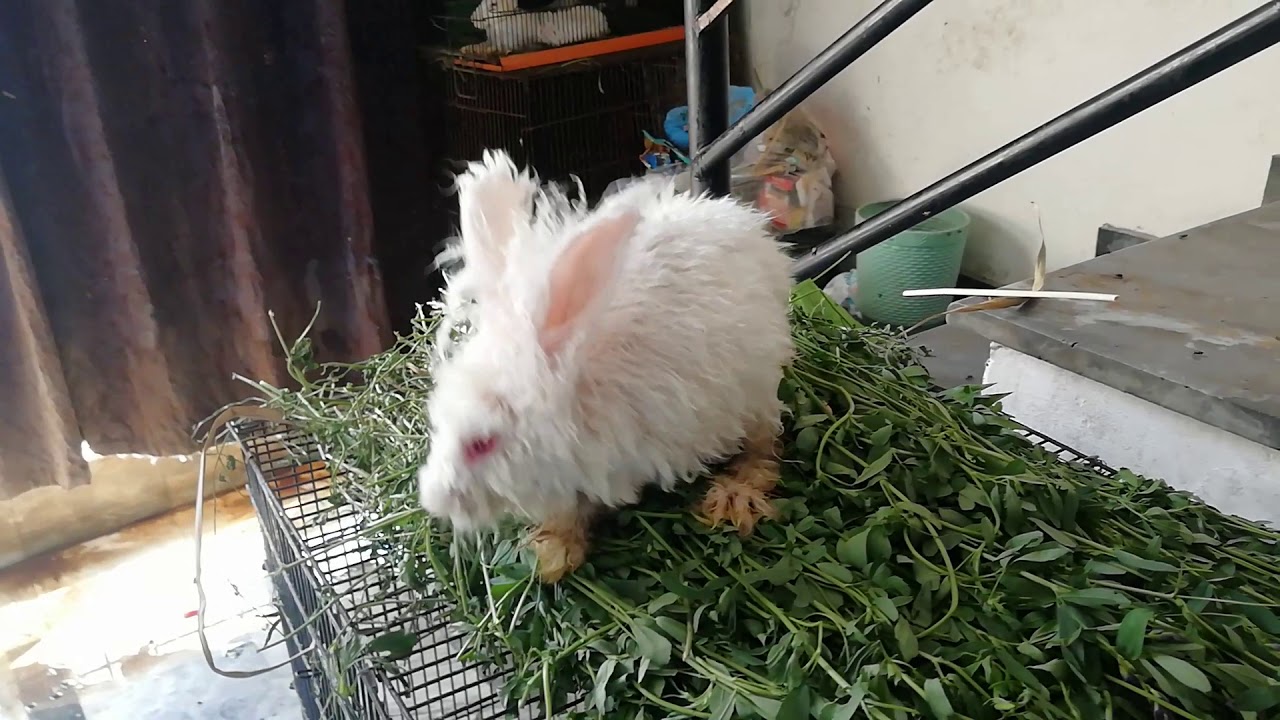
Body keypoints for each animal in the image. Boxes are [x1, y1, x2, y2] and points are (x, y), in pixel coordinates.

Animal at [417, 150, 795, 583]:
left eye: (481, 443)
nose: (432, 499)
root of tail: (744, 221)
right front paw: (550, 554)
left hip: (756, 387)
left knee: (764, 443)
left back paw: (734, 498)